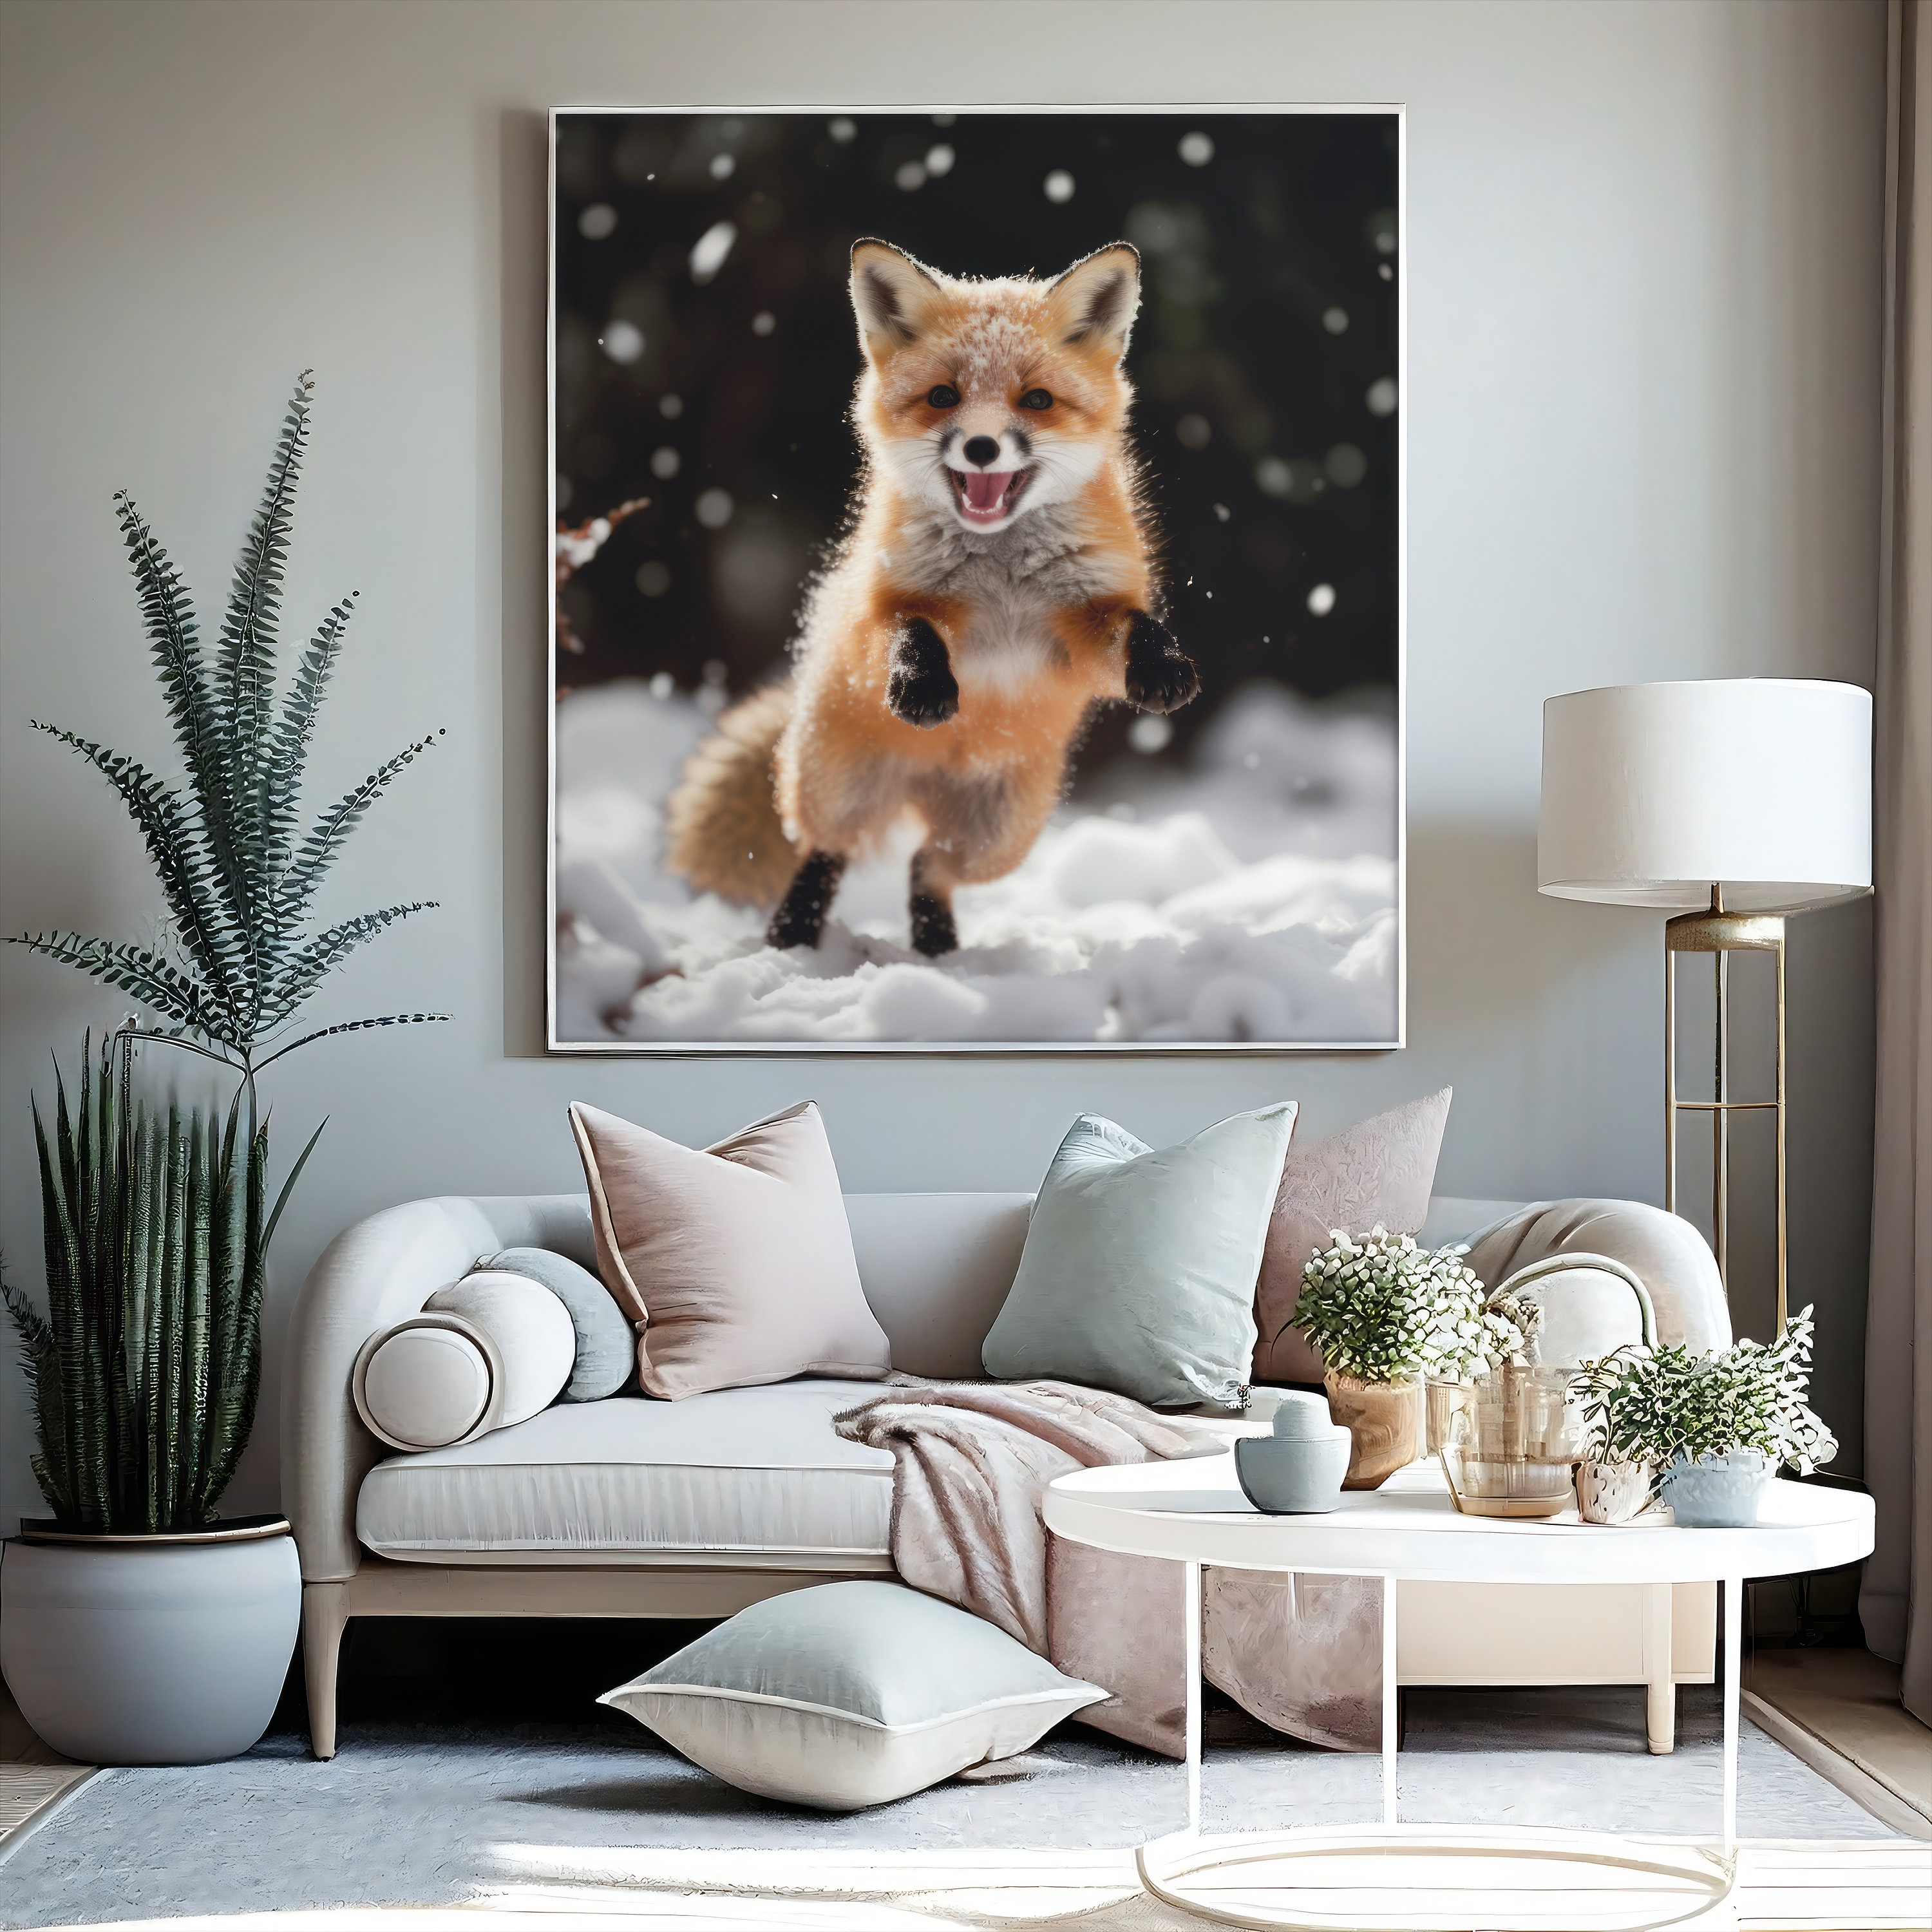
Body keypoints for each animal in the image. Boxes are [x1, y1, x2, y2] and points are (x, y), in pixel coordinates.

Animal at [663, 237, 1199, 957]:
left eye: (1037, 399)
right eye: (943, 396)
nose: (982, 446)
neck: (1001, 576)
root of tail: (926, 782)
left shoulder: (1082, 631)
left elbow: (1140, 629)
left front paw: (1165, 670)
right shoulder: (883, 611)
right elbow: (911, 631)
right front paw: (922, 688)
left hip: (1000, 834)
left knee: (929, 864)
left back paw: (937, 946)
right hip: (839, 787)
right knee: (827, 850)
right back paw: (793, 935)